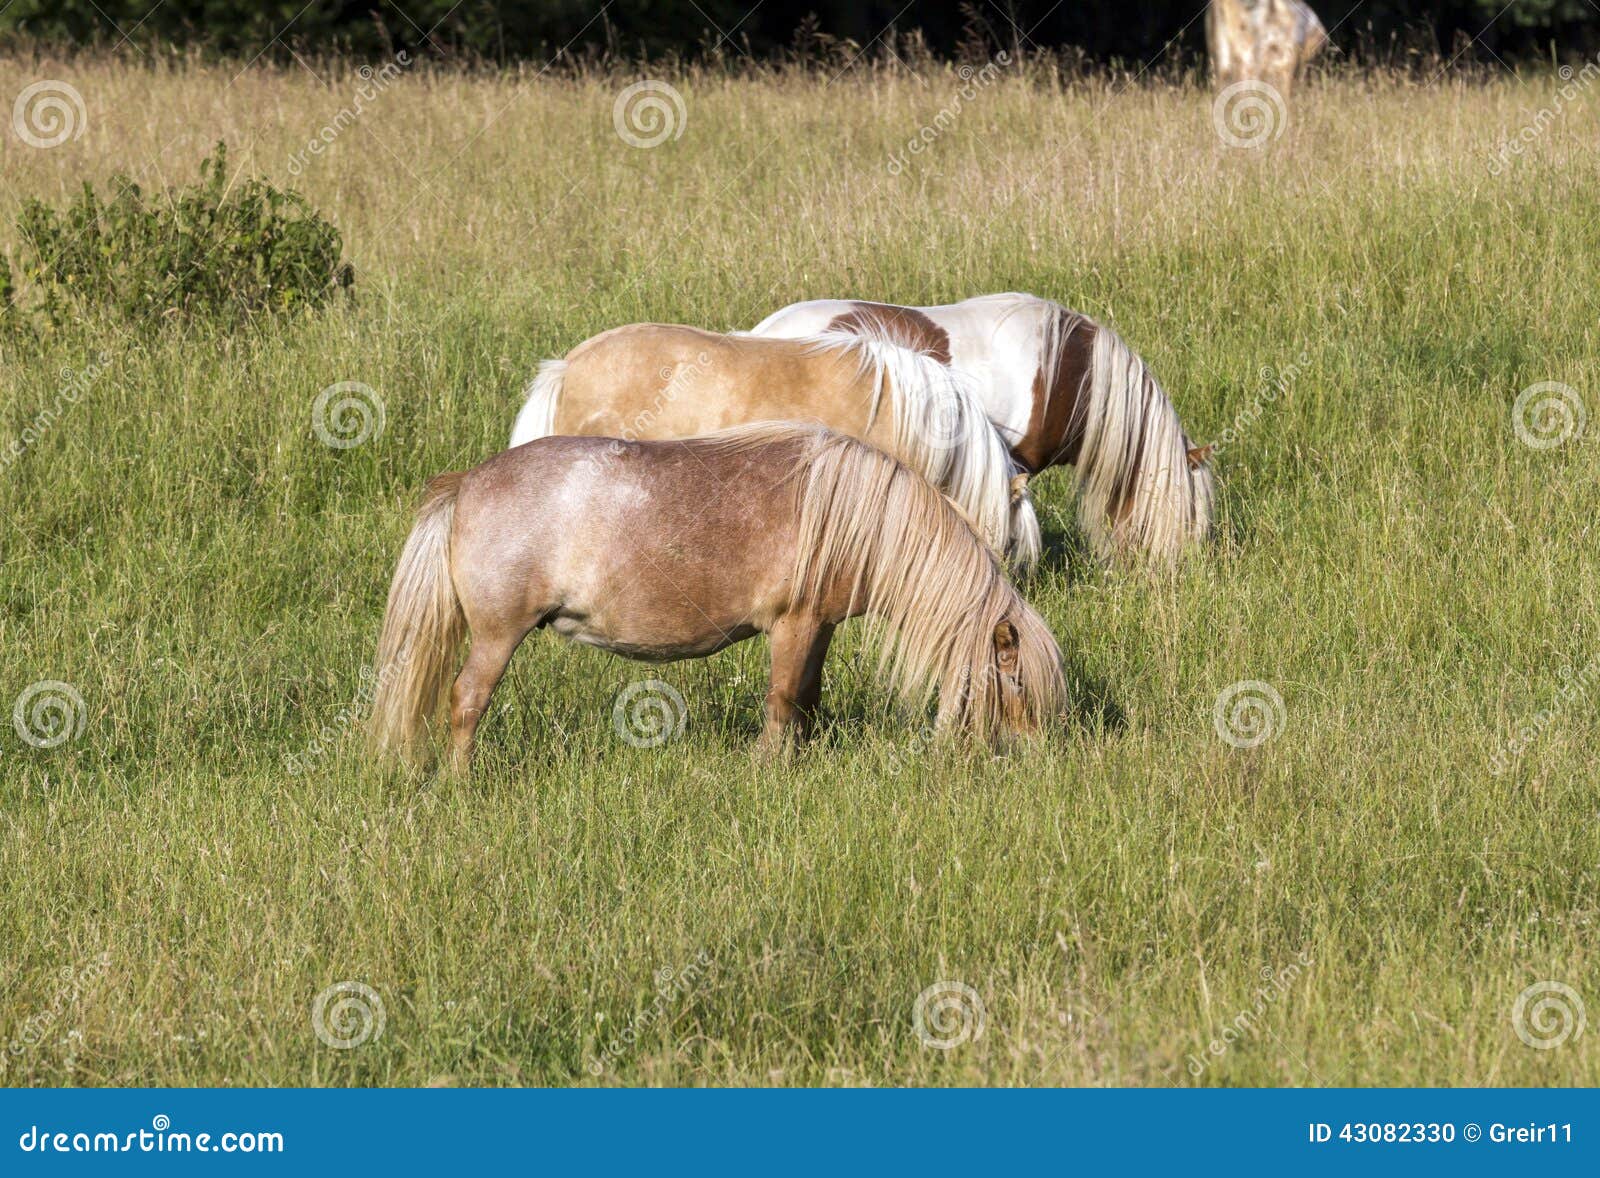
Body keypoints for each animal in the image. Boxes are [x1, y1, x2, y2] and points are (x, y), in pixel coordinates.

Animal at [369, 423, 1066, 772]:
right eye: (1018, 684)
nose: (1039, 763)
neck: (854, 515)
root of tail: (469, 482)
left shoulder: (818, 628)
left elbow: (808, 698)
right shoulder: (793, 624)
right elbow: (783, 700)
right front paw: (766, 771)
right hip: (495, 636)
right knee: (466, 701)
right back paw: (461, 783)